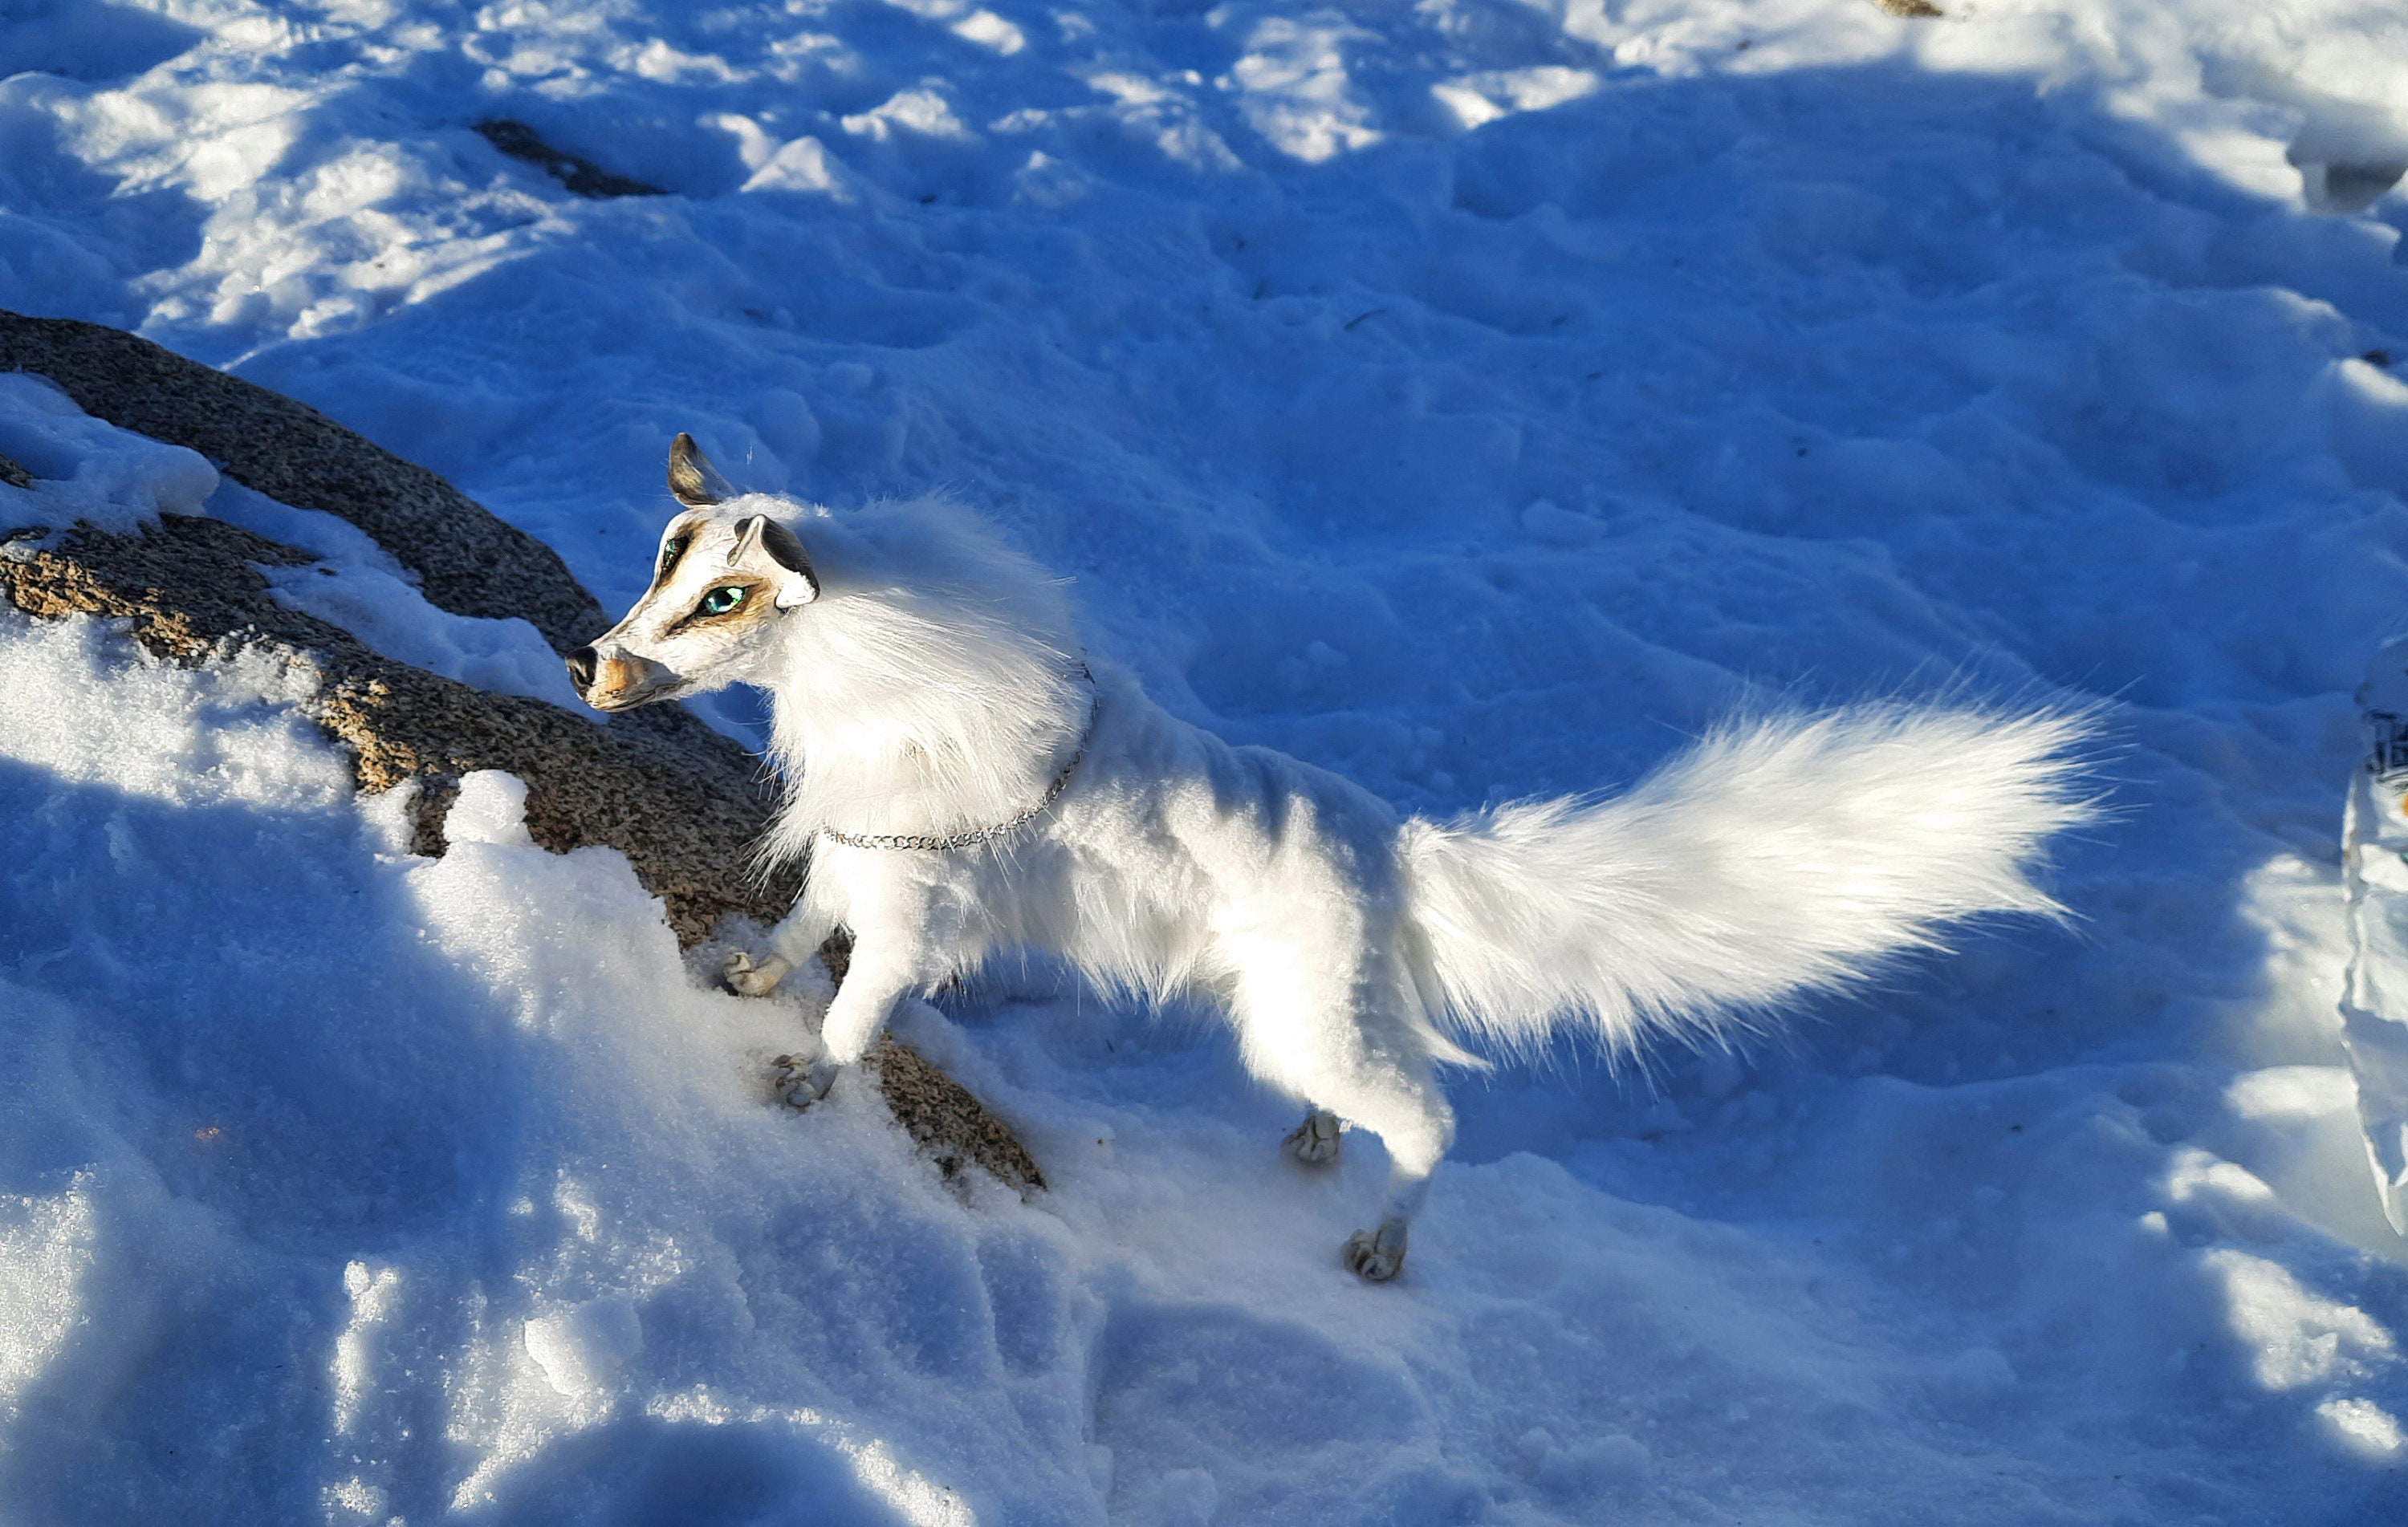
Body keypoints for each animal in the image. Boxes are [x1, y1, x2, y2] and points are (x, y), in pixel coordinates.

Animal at [568, 434, 2093, 1280]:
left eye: (728, 596)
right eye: (661, 557)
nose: (594, 665)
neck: (877, 676)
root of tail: (1397, 853)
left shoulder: (913, 910)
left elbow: (860, 1007)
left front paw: (801, 1085)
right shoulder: (861, 851)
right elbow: (796, 925)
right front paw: (742, 973)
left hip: (1310, 1018)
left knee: (1430, 1120)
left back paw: (1381, 1244)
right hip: (1314, 1012)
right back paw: (1309, 1143)